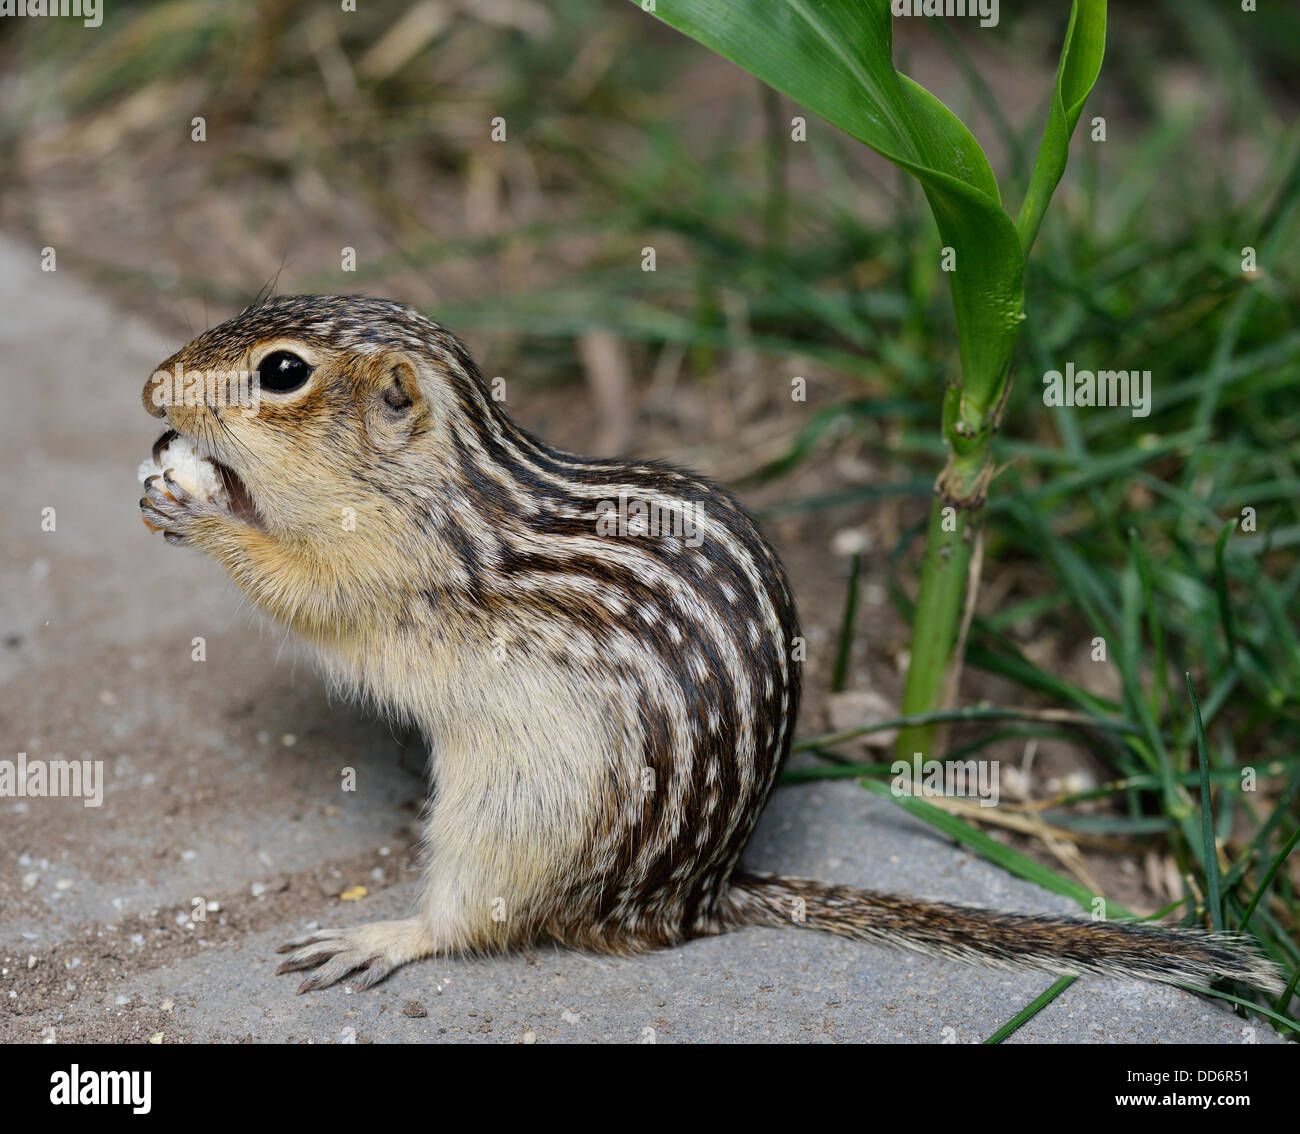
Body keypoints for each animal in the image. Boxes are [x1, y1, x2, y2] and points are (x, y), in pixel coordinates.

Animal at [139, 294, 1281, 997]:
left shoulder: (390, 573)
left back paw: (384, 934)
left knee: (478, 917)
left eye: (281, 372)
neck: (442, 484)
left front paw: (203, 511)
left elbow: (306, 597)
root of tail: (692, 903)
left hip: (519, 814)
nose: (153, 387)